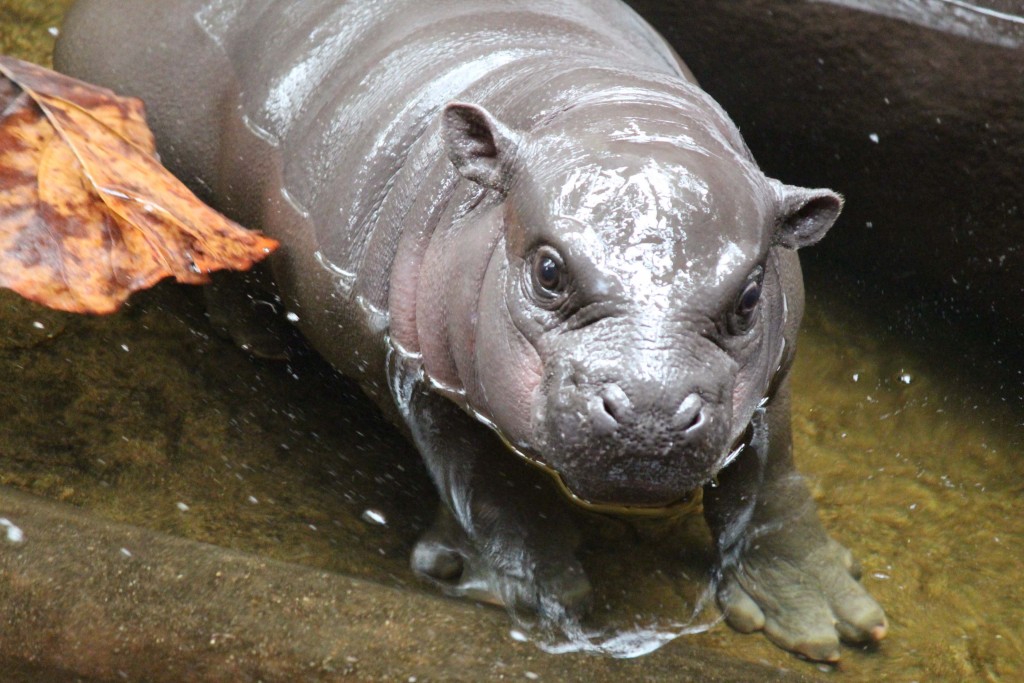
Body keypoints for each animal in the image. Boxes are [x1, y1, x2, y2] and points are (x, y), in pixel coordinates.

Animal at [55, 0, 886, 661]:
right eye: (548, 270)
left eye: (747, 298)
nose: (650, 409)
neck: (609, 111)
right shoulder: (412, 362)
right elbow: (480, 472)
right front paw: (537, 586)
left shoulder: (773, 369)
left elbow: (772, 468)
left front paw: (819, 612)